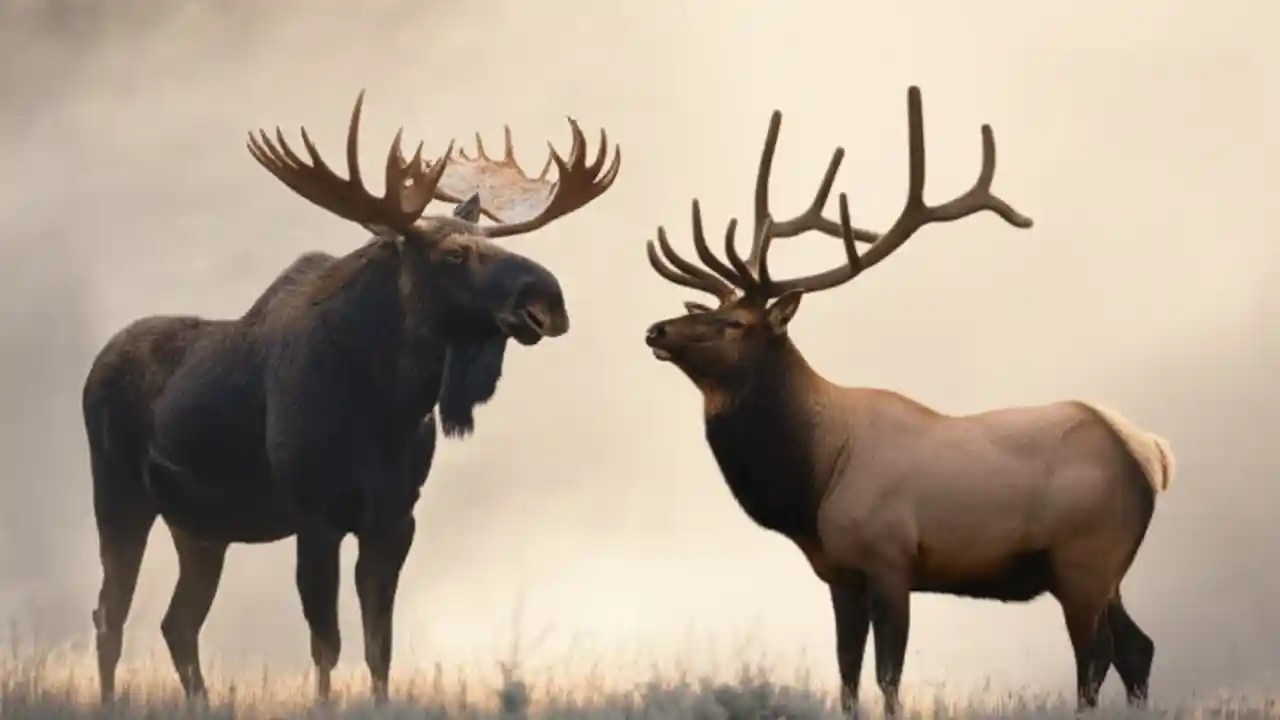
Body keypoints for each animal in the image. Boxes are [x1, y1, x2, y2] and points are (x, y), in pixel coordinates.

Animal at [81, 92, 620, 705]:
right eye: (453, 254)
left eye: (492, 243)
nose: (547, 300)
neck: (389, 407)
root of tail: (95, 366)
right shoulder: (317, 515)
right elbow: (327, 644)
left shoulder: (395, 518)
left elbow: (378, 645)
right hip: (119, 494)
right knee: (110, 614)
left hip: (200, 528)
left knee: (177, 623)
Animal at [642, 86, 1174, 716]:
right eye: (706, 309)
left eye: (734, 322)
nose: (656, 330)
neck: (813, 479)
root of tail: (1151, 454)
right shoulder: (839, 571)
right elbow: (847, 673)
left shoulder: (891, 556)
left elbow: (888, 674)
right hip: (1100, 569)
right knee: (1137, 648)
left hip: (1085, 555)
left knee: (1095, 657)